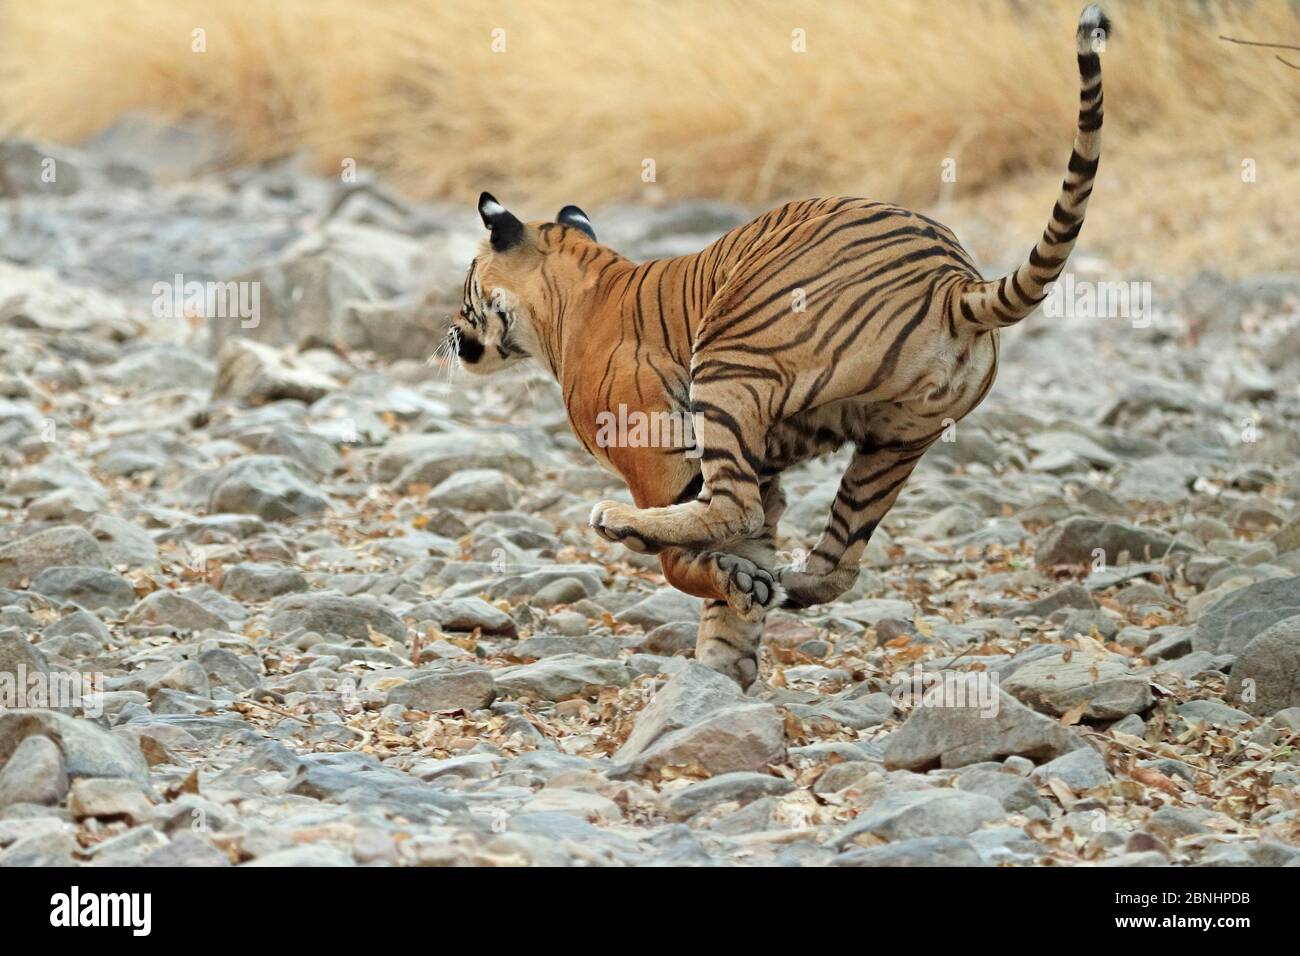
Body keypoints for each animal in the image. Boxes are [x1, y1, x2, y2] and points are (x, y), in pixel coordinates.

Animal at [446, 5, 1110, 688]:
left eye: (465, 284)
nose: (451, 335)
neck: (575, 298)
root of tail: (953, 282)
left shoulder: (653, 454)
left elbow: (687, 558)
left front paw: (716, 600)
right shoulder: (766, 474)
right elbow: (735, 566)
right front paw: (725, 664)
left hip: (726, 362)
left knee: (731, 508)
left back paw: (621, 523)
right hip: (896, 441)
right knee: (839, 560)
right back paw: (792, 584)